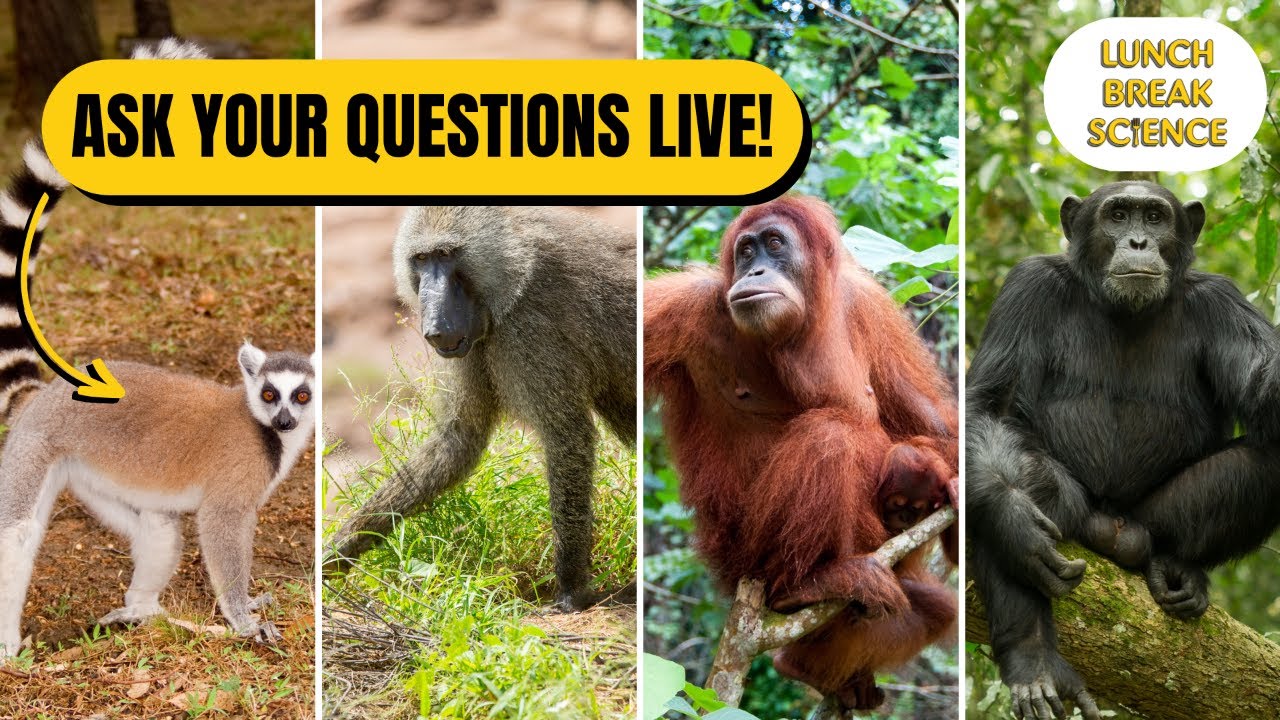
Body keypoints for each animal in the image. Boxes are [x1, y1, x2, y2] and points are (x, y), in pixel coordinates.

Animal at [326, 206, 636, 611]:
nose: (436, 328)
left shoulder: (529, 327)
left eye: (446, 255)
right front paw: (335, 553)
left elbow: (567, 435)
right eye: (421, 260)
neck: (517, 264)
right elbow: (460, 439)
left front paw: (571, 588)